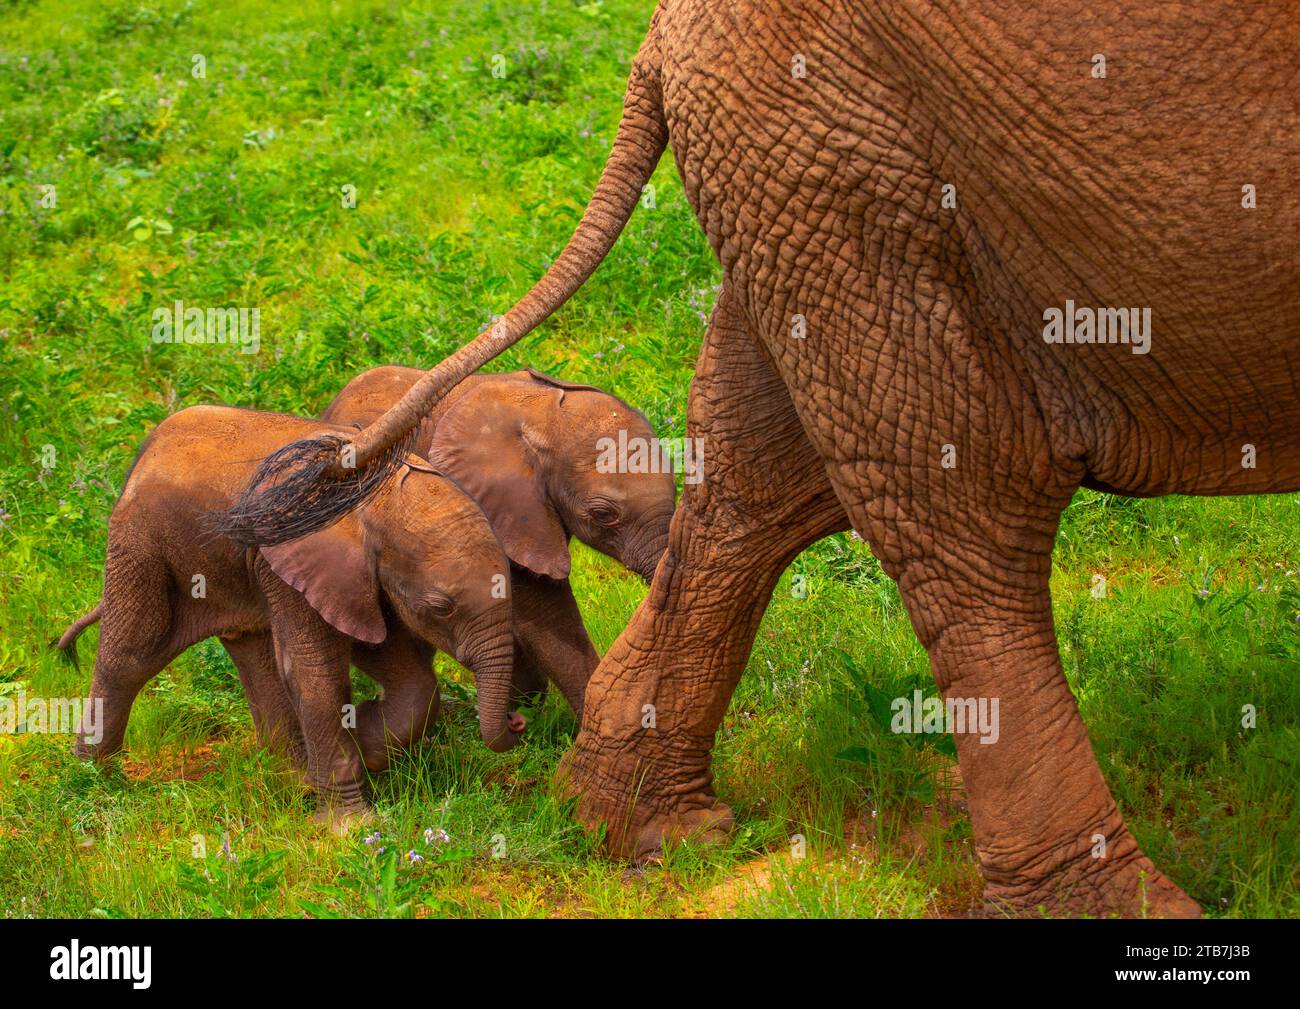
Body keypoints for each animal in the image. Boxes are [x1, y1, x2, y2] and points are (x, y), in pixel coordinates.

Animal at [62, 405, 517, 824]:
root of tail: (147, 449)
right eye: (441, 608)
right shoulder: (294, 554)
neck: (375, 496)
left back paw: (293, 779)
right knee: (130, 657)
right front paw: (350, 826)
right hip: (141, 543)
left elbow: (399, 667)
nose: (517, 722)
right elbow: (316, 673)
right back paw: (95, 783)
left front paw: (364, 743)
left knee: (252, 652)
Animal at [220, 1, 1299, 915]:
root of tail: (662, 33)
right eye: (598, 517)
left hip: (807, 156)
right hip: (844, 146)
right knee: (968, 510)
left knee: (761, 476)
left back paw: (652, 837)